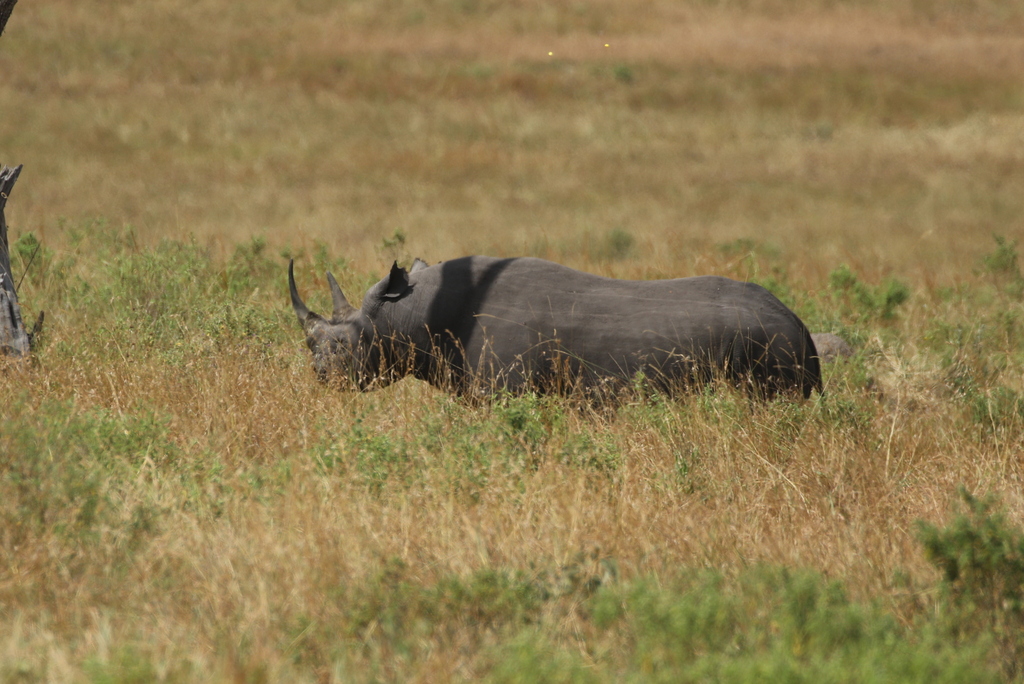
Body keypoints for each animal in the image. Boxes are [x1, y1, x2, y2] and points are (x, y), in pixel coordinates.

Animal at [289, 256, 822, 398]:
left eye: (344, 347)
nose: (320, 376)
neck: (409, 315)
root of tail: (801, 325)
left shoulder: (502, 390)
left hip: (771, 344)